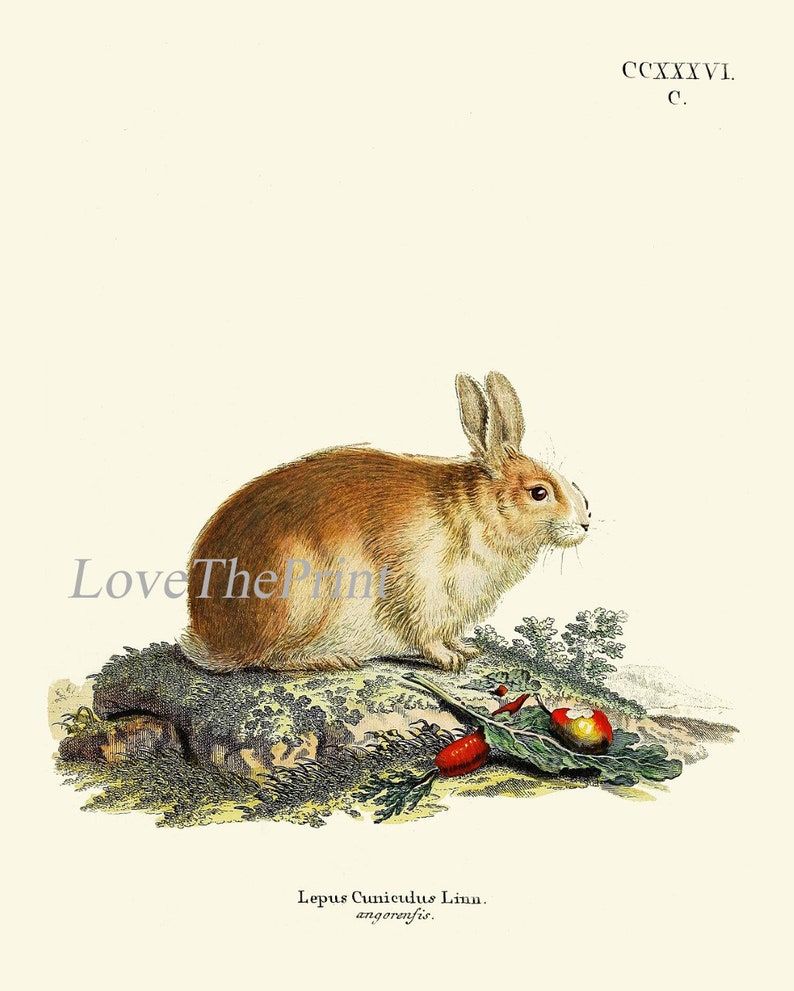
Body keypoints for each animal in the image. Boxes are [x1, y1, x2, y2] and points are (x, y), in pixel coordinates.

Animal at [180, 371, 591, 675]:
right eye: (539, 492)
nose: (586, 522)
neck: (478, 511)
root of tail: (213, 639)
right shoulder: (421, 585)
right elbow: (426, 634)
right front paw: (450, 660)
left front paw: (467, 650)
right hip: (301, 599)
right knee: (270, 659)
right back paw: (333, 659)